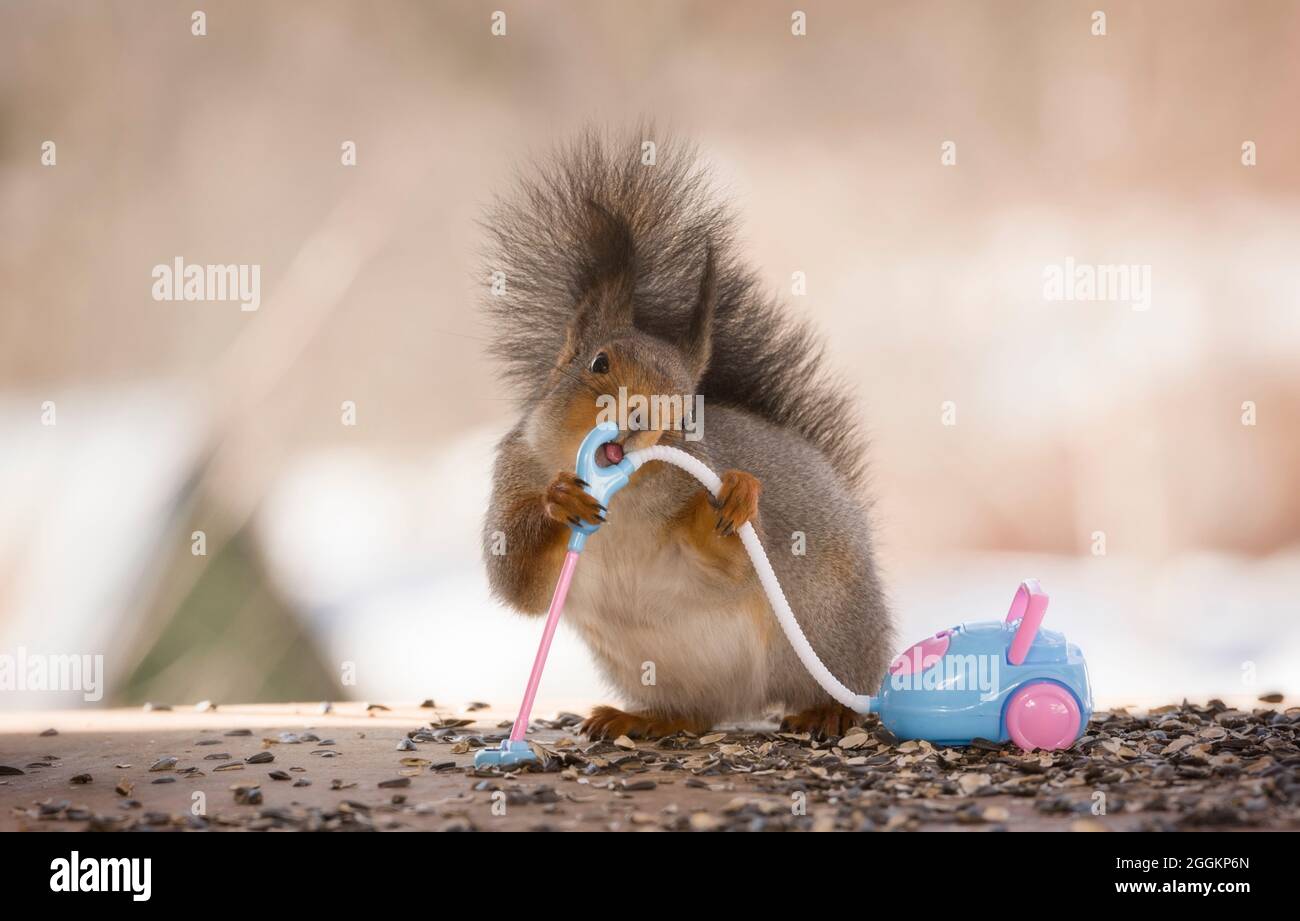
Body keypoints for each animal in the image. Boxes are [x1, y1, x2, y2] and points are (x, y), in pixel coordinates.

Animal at [480, 131, 894, 740]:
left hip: (829, 628)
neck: (625, 503)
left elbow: (734, 564)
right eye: (599, 362)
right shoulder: (515, 473)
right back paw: (642, 719)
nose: (640, 419)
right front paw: (562, 499)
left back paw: (829, 708)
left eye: (685, 406)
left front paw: (736, 495)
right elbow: (516, 577)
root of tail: (752, 699)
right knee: (699, 715)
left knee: (833, 688)